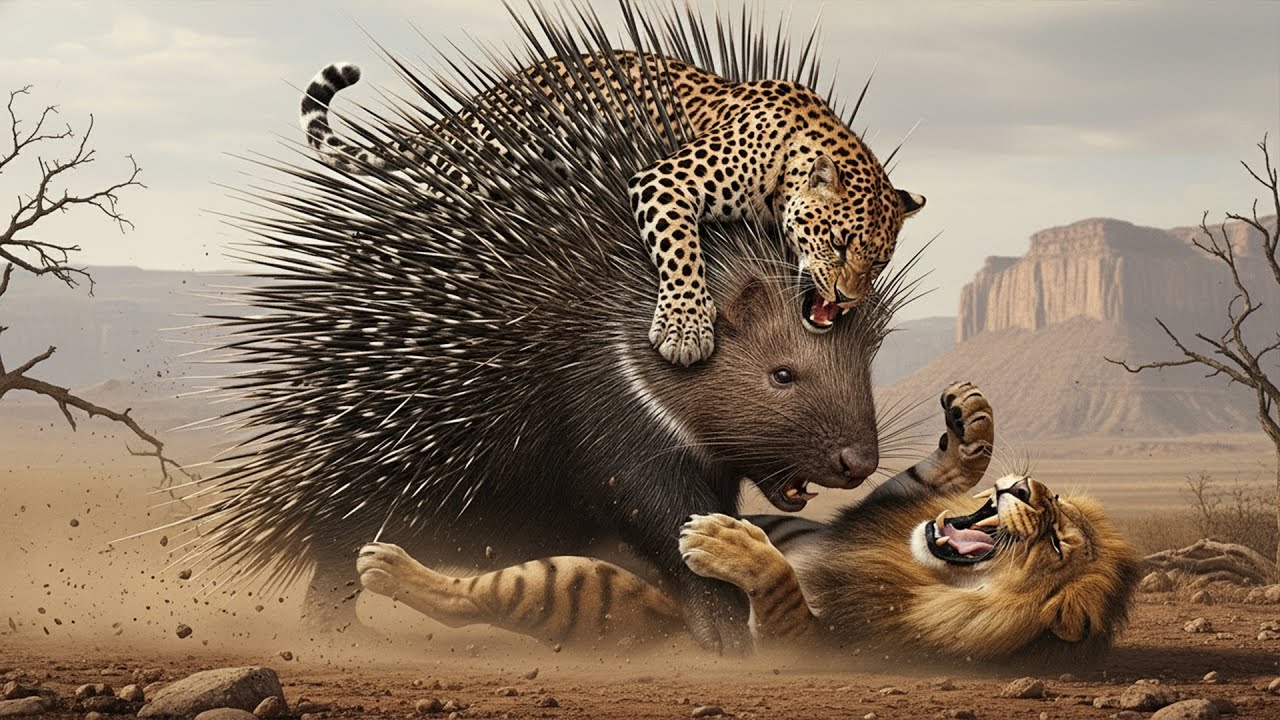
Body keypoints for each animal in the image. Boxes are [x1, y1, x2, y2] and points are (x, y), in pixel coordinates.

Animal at [299, 50, 925, 367]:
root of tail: (486, 99)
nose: (847, 299)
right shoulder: (663, 181)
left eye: (878, 263)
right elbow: (684, 254)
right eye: (838, 243)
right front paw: (684, 329)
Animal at [355, 381, 1141, 665]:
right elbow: (916, 482)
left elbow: (786, 600)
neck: (913, 574)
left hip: (579, 586)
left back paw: (385, 566)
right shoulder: (869, 516)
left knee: (469, 602)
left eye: (1057, 540)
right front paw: (972, 424)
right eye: (1053, 505)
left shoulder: (821, 649)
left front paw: (725, 539)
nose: (1026, 485)